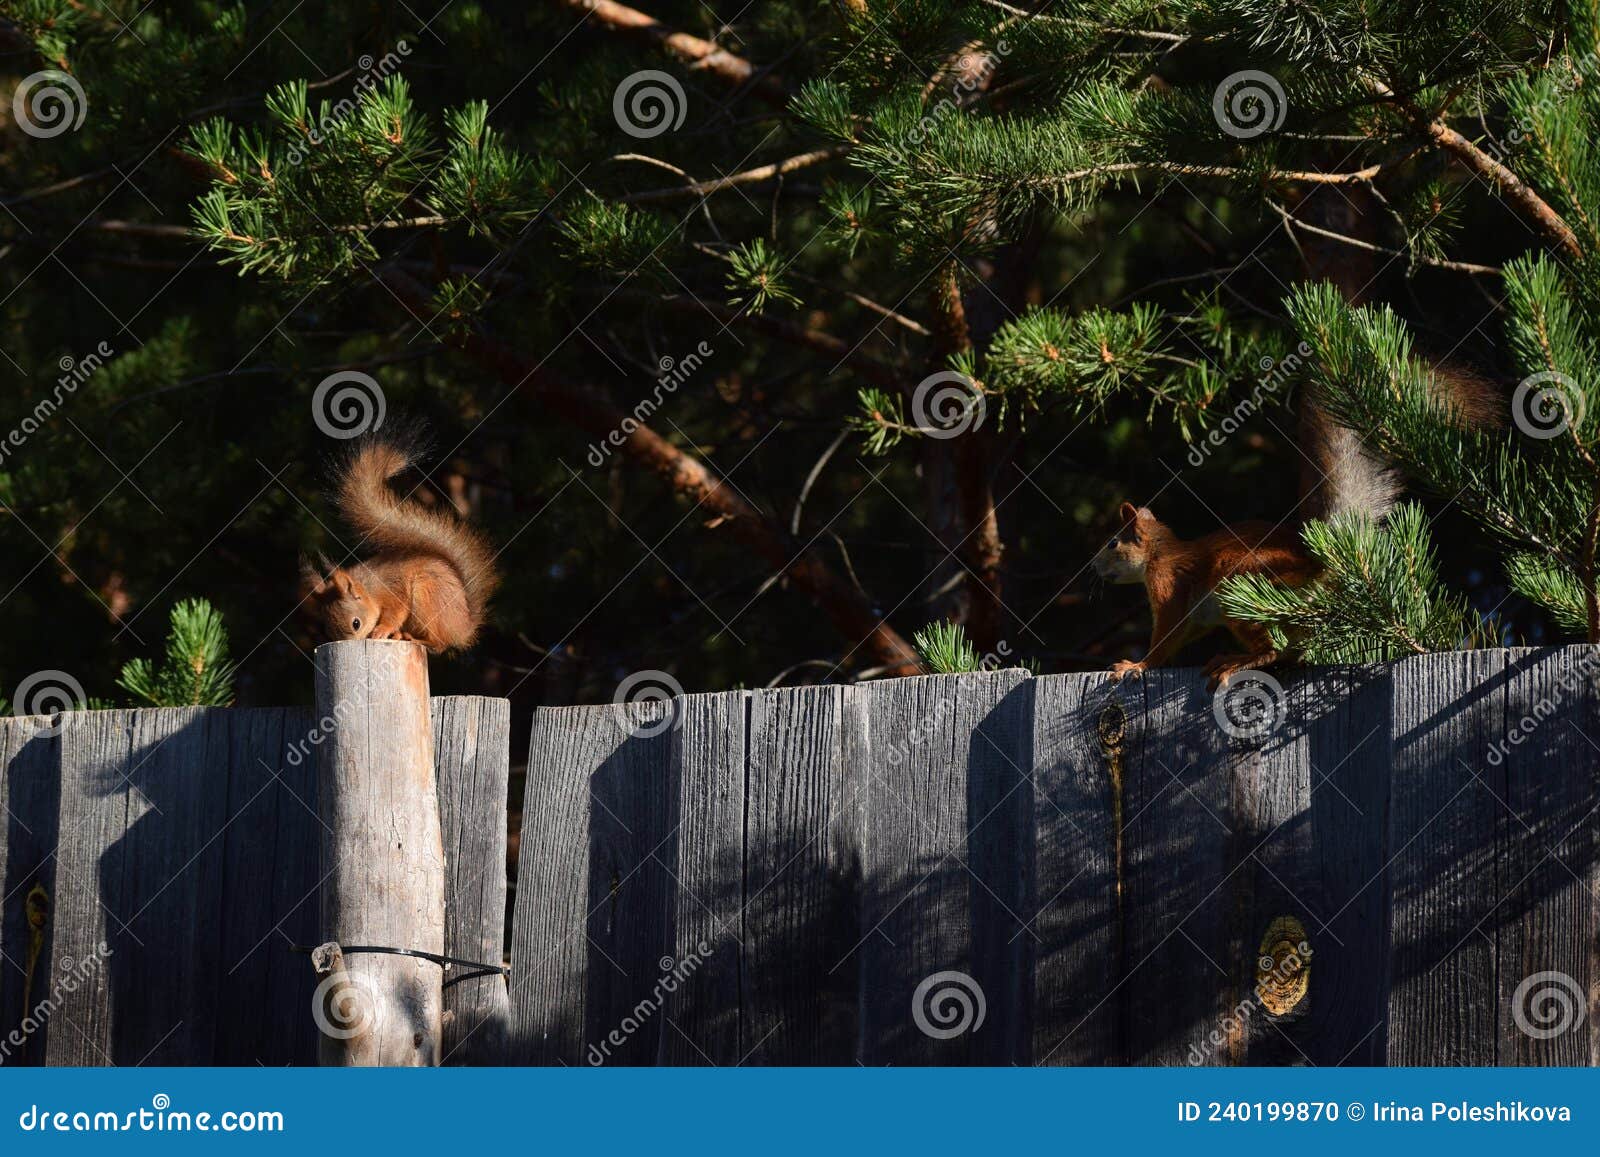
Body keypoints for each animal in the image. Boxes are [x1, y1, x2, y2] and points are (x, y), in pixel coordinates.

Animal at [301, 430, 499, 653]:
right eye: (328, 631)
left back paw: (418, 639)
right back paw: (401, 635)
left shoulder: (394, 591)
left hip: (427, 595)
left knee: (439, 644)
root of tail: (462, 628)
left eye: (356, 623)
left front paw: (381, 630)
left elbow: (395, 613)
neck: (369, 588)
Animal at [1094, 363, 1501, 688]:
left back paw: (1235, 662)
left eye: (1113, 543)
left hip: (1242, 587)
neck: (1159, 552)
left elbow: (1166, 636)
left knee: (1271, 649)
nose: (1095, 567)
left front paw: (1135, 666)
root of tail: (1322, 565)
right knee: (1293, 651)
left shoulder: (1168, 584)